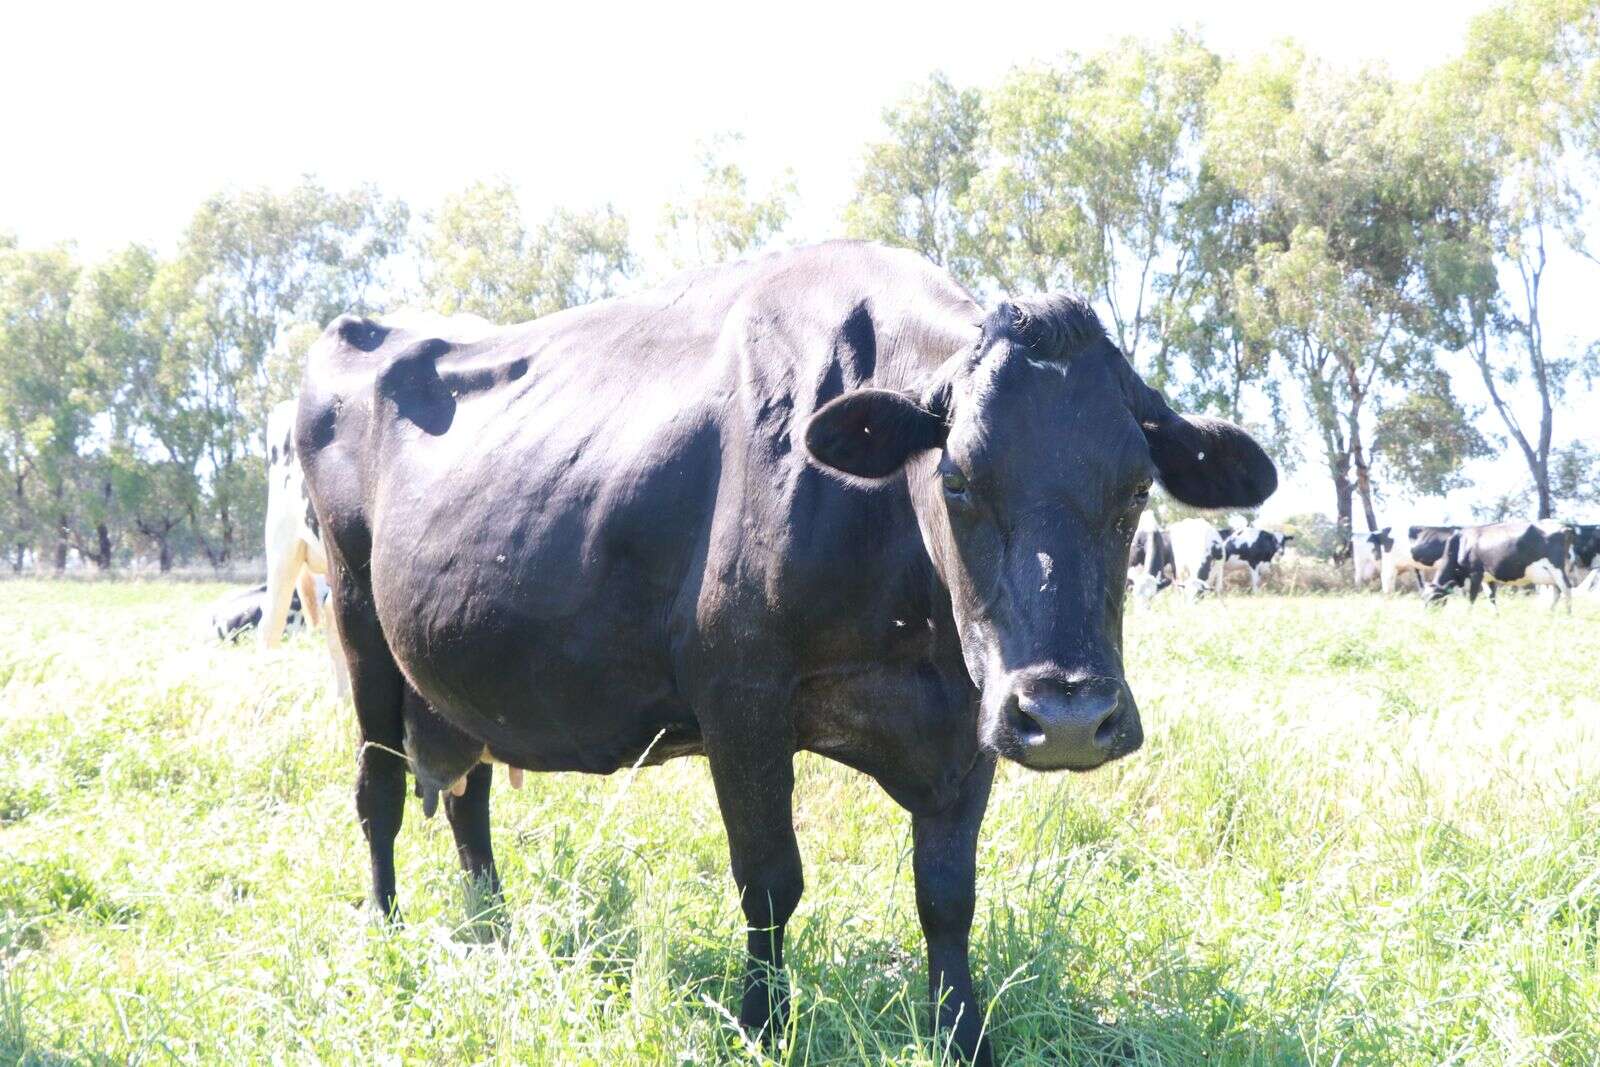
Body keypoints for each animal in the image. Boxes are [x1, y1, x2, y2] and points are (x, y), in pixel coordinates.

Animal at [295, 242, 1276, 1064]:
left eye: (1138, 487)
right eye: (958, 477)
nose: (1069, 714)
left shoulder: (972, 717)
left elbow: (947, 892)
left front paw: (962, 1036)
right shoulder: (741, 697)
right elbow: (770, 879)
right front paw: (761, 1026)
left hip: (458, 680)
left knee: (470, 795)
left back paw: (493, 926)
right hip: (358, 625)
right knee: (378, 792)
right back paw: (386, 932)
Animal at [1425, 521, 1572, 614]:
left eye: (1434, 599)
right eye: (1424, 599)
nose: (1428, 617)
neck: (1461, 544)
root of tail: (1564, 528)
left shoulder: (1475, 573)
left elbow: (1472, 597)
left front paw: (1468, 615)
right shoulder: (1486, 578)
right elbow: (1491, 597)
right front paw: (1496, 616)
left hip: (1556, 568)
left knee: (1566, 589)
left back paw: (1568, 615)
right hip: (1550, 574)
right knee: (1557, 592)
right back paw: (1550, 613)